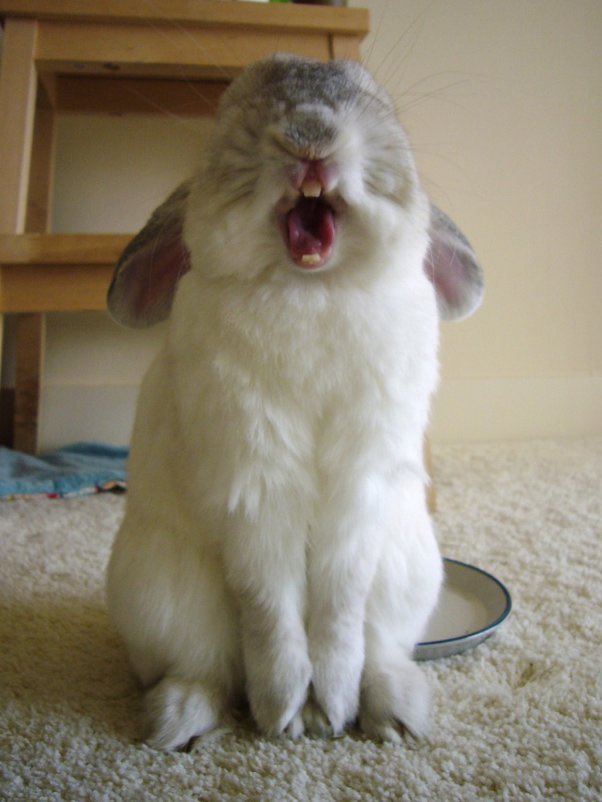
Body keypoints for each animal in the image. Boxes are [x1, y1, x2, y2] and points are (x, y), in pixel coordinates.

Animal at [106, 54, 484, 751]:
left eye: (372, 99)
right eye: (236, 103)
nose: (311, 136)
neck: (312, 287)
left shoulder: (358, 495)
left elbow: (338, 609)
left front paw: (327, 709)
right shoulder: (253, 492)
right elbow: (268, 609)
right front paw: (285, 713)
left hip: (408, 576)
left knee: (380, 651)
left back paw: (394, 717)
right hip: (161, 598)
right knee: (205, 669)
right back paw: (178, 723)